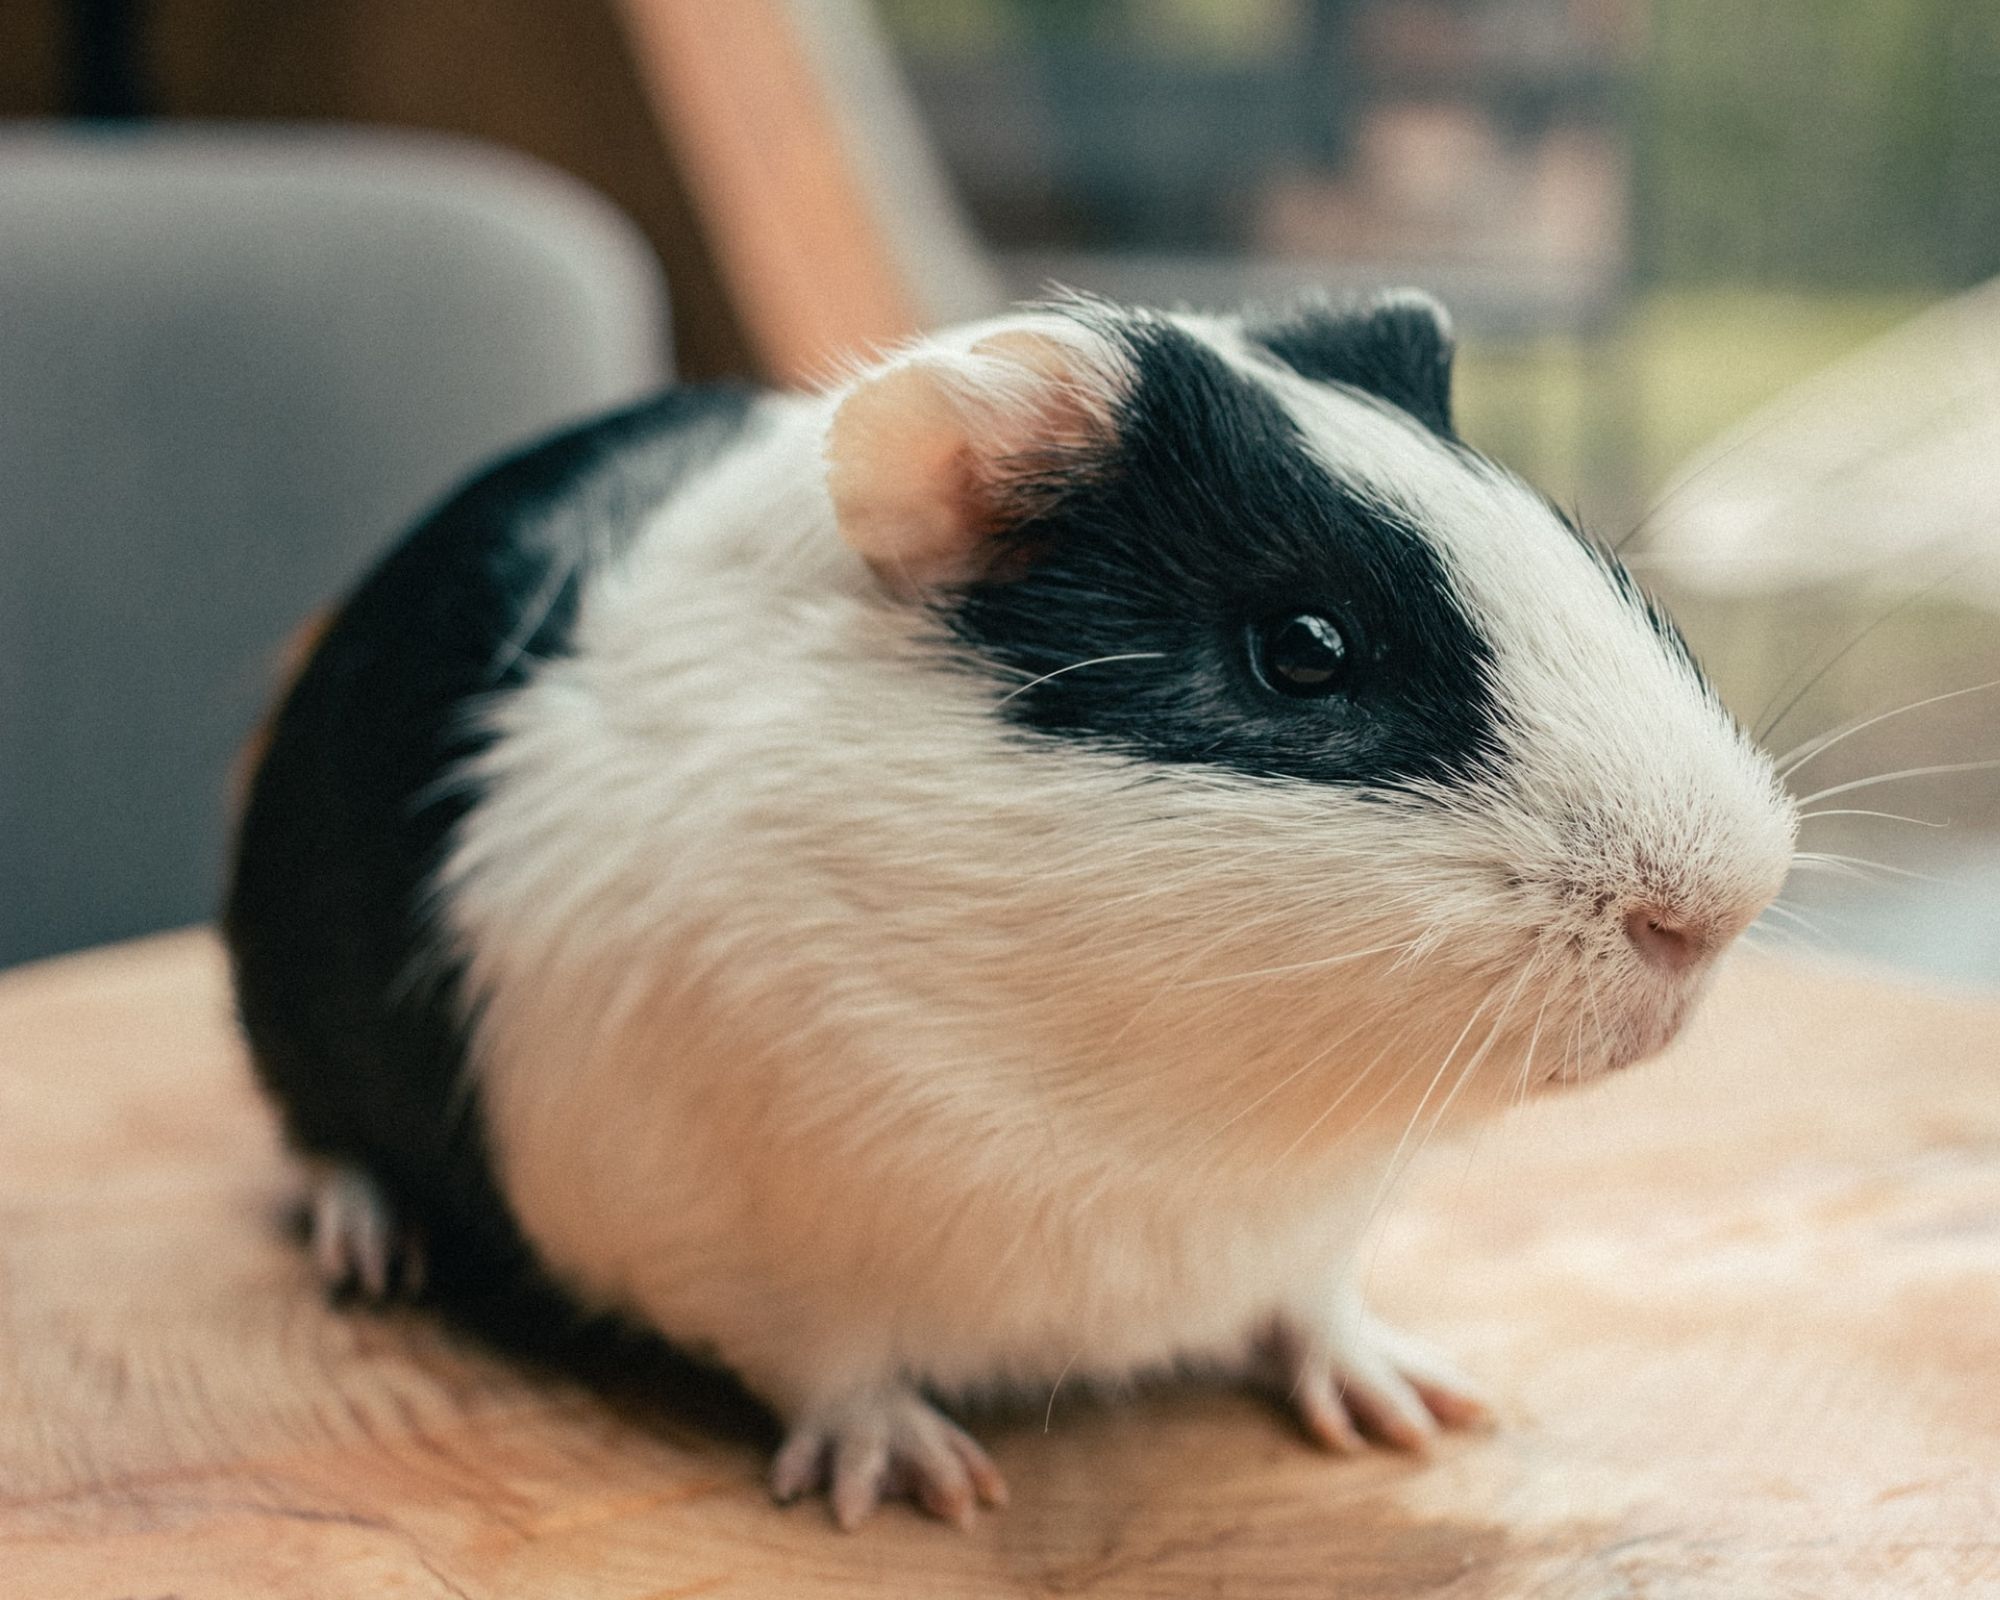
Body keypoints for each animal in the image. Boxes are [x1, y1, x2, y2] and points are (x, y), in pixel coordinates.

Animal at [225, 293, 1797, 1529]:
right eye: (1302, 650)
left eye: (1573, 545)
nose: (1708, 909)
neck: (1168, 1144)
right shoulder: (735, 1239)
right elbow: (834, 1371)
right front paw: (920, 1488)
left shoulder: (1303, 1234)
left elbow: (1317, 1306)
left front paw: (1413, 1407)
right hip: (291, 1031)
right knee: (323, 1150)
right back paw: (372, 1262)